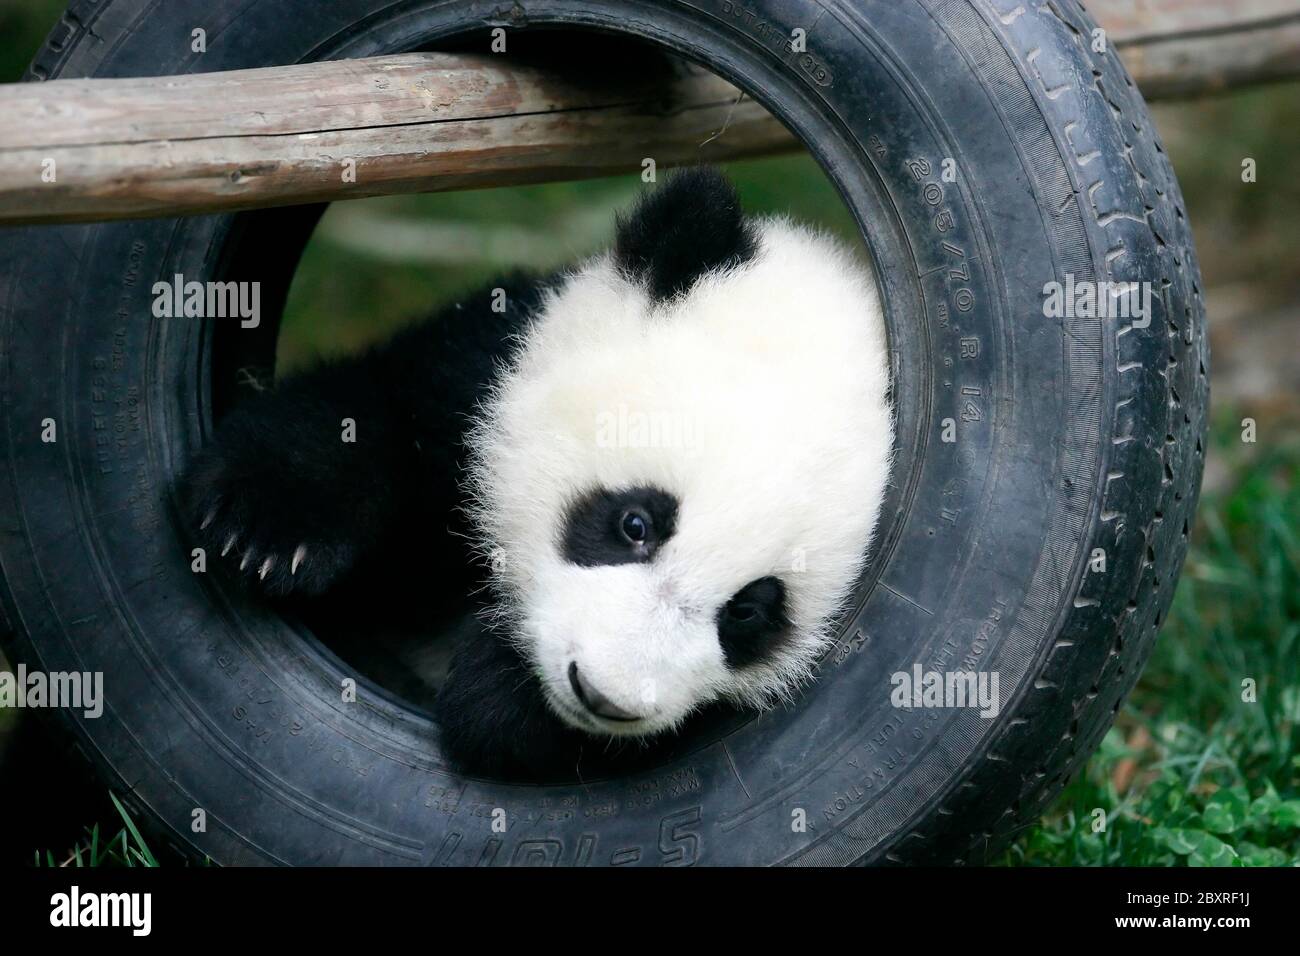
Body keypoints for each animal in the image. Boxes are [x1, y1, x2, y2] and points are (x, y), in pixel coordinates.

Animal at [183, 167, 893, 777]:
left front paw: (494, 695)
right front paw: (268, 529)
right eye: (635, 523)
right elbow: (379, 404)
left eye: (748, 613)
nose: (602, 695)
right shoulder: (485, 368)